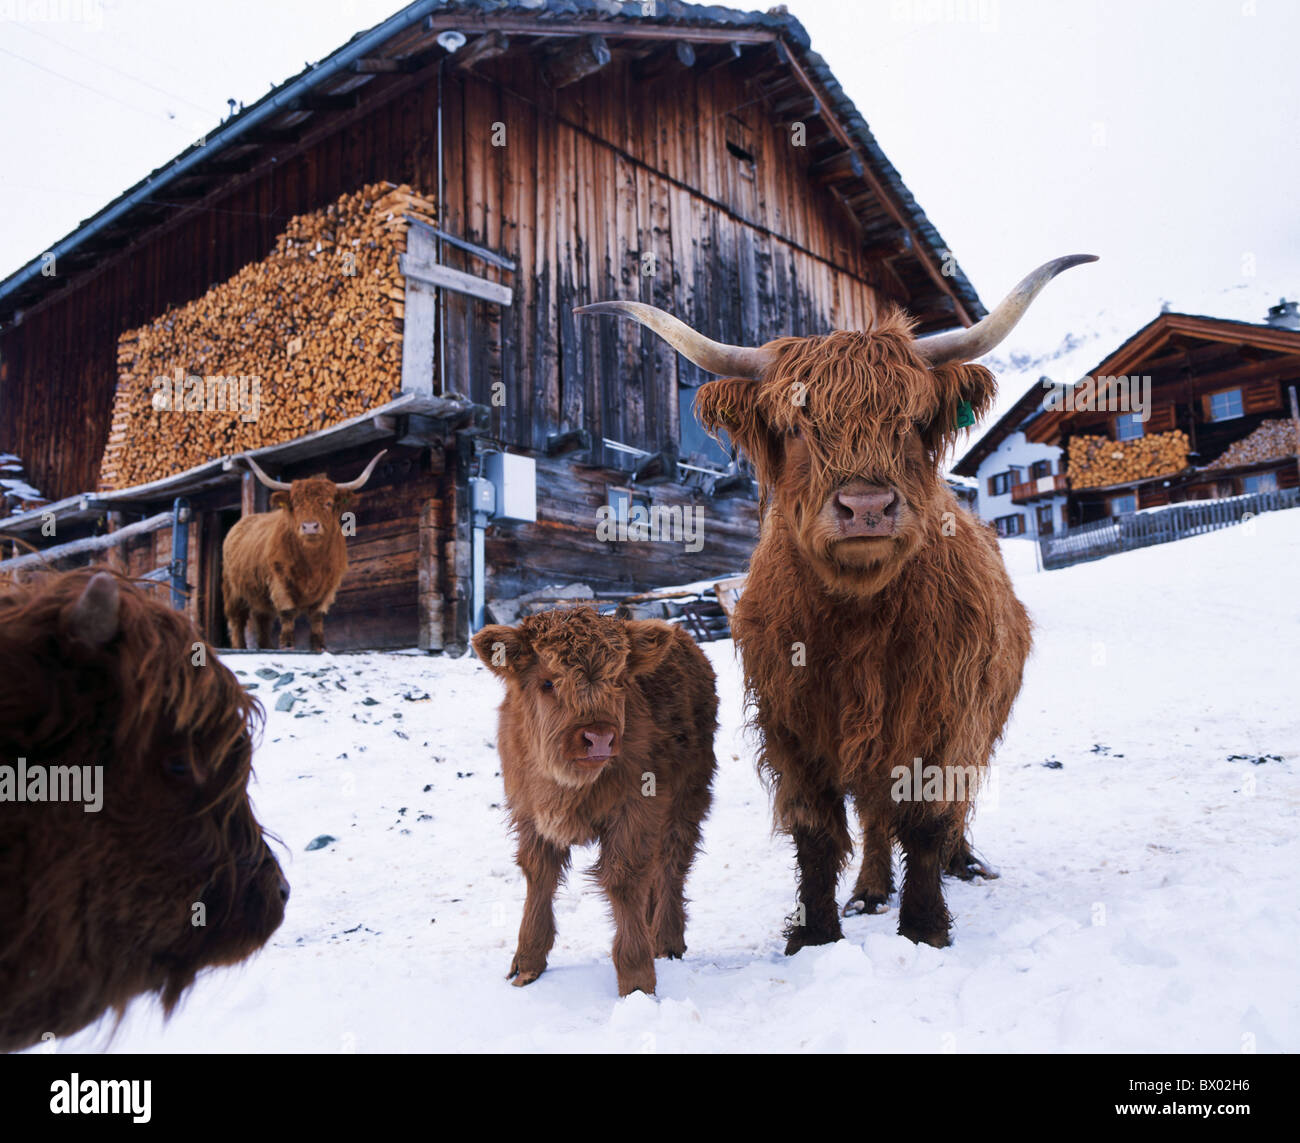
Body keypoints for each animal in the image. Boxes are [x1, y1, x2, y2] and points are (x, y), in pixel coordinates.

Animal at [222, 450, 386, 652]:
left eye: (328, 503)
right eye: (296, 503)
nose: (309, 527)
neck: (311, 562)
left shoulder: (329, 584)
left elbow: (317, 616)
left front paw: (319, 646)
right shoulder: (279, 580)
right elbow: (287, 612)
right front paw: (287, 645)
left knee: (263, 618)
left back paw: (267, 646)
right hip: (232, 590)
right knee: (237, 620)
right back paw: (239, 647)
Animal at [472, 608, 717, 997]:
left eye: (618, 680)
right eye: (547, 682)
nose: (599, 737)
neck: (568, 785)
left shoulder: (636, 811)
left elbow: (624, 880)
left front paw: (637, 978)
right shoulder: (529, 813)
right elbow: (538, 875)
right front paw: (527, 962)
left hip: (688, 796)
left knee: (672, 862)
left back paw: (666, 939)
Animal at [577, 254, 1095, 950]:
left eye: (910, 421)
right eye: (797, 426)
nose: (866, 506)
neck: (859, 617)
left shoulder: (943, 715)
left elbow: (928, 815)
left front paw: (925, 927)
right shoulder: (794, 723)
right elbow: (817, 831)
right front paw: (817, 934)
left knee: (950, 802)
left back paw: (962, 862)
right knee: (875, 811)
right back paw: (871, 890)